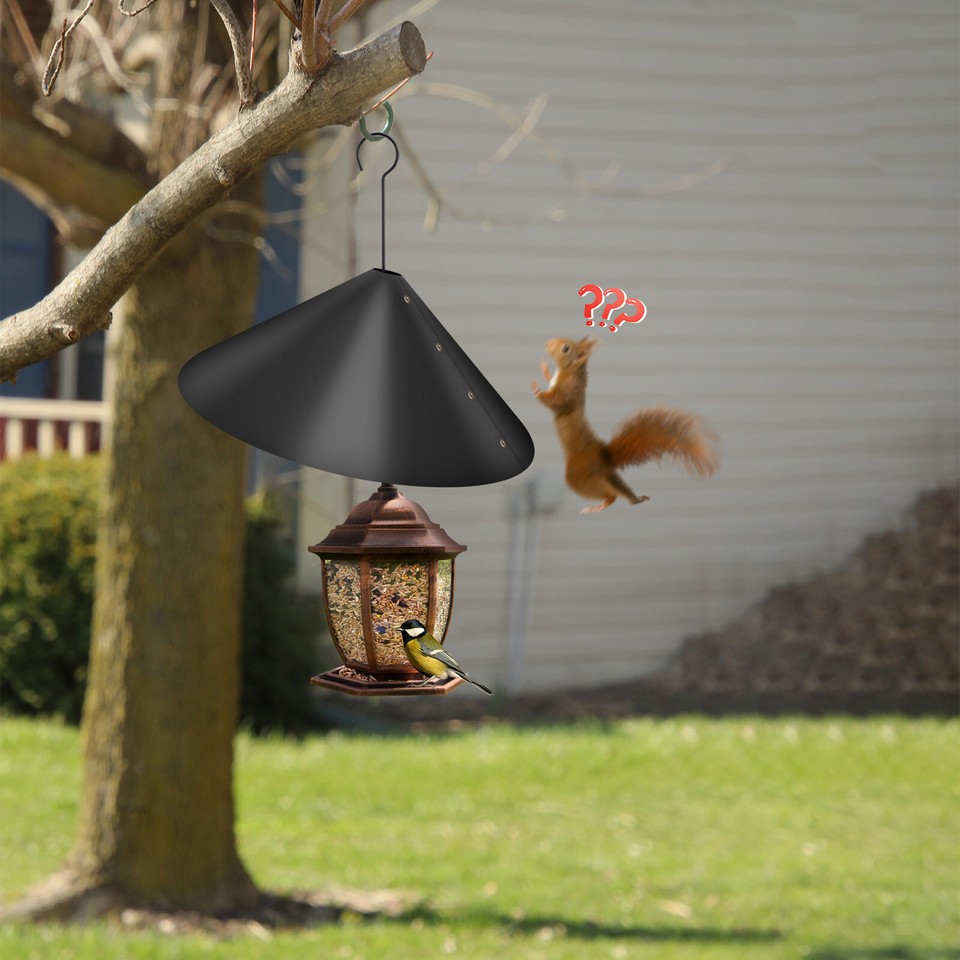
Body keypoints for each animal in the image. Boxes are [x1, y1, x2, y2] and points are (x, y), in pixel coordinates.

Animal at [531, 336, 719, 514]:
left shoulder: (568, 391)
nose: (548, 343)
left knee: (610, 495)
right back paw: (636, 499)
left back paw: (598, 506)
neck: (569, 371)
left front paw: (537, 389)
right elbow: (550, 379)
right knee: (621, 489)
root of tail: (605, 457)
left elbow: (556, 402)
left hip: (579, 475)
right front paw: (544, 368)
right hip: (609, 476)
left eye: (566, 348)